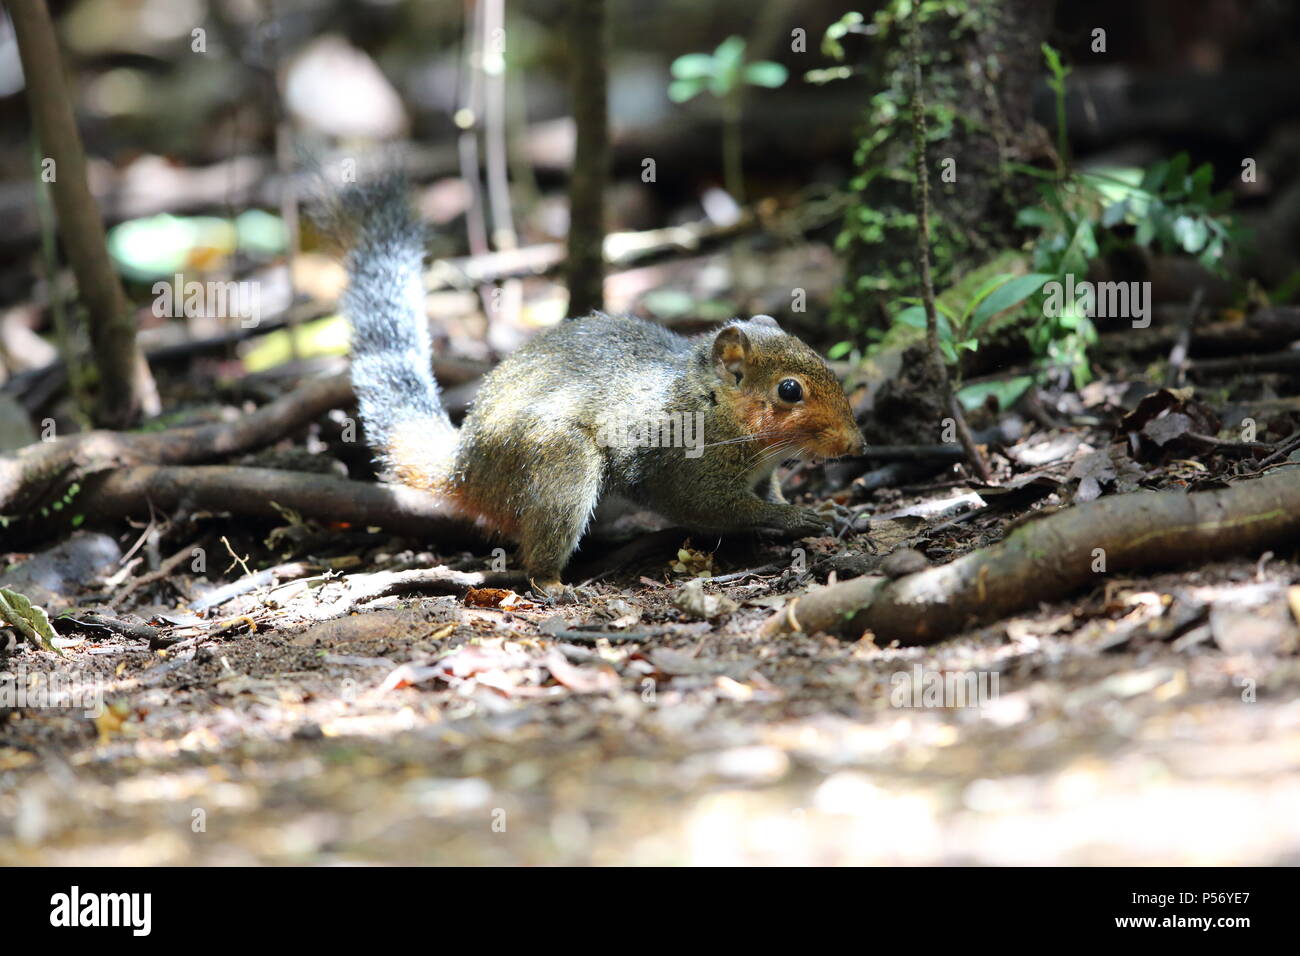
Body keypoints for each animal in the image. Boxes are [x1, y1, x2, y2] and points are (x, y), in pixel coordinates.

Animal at [336, 177, 864, 593]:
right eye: (789, 391)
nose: (857, 445)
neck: (714, 405)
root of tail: (466, 468)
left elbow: (768, 492)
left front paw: (817, 510)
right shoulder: (686, 466)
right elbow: (718, 508)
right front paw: (792, 518)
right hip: (560, 463)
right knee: (542, 540)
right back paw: (552, 581)